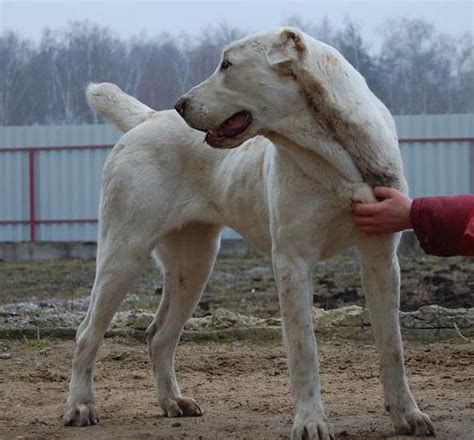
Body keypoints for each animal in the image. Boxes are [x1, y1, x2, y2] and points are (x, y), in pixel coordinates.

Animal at [65, 28, 436, 440]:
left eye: (228, 65)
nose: (180, 104)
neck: (336, 156)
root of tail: (147, 118)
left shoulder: (381, 259)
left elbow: (392, 346)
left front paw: (407, 414)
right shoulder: (292, 261)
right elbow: (304, 348)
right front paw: (311, 421)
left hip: (194, 266)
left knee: (159, 335)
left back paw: (173, 402)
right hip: (123, 255)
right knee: (87, 332)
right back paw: (81, 405)